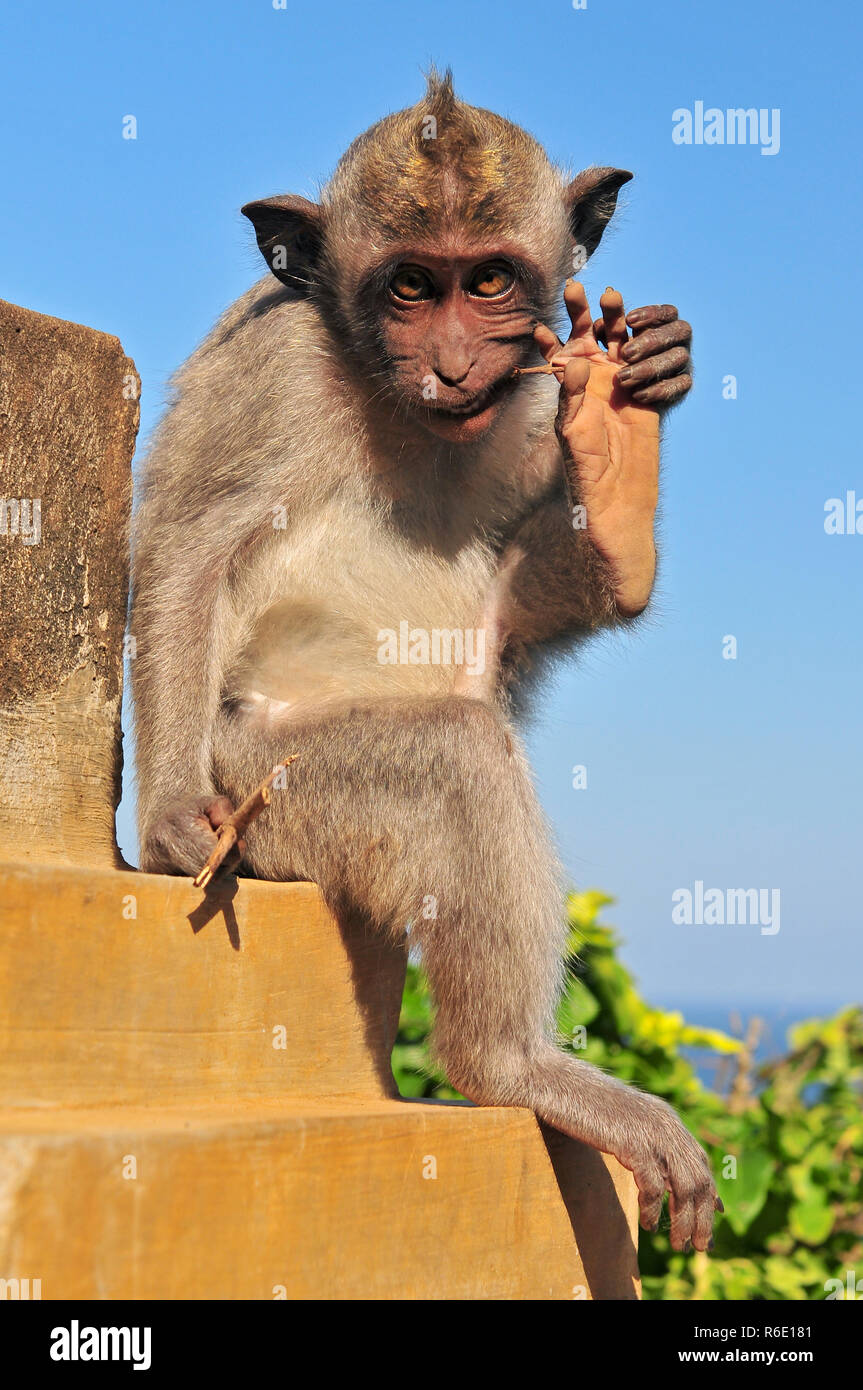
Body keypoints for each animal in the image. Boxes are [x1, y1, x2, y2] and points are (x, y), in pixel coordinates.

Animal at [131, 69, 719, 1254]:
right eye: (408, 286)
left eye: (486, 280)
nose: (451, 363)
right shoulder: (270, 366)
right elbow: (188, 545)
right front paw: (167, 813)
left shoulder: (532, 389)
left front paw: (621, 427)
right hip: (269, 782)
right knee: (452, 756)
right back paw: (510, 1066)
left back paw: (619, 487)